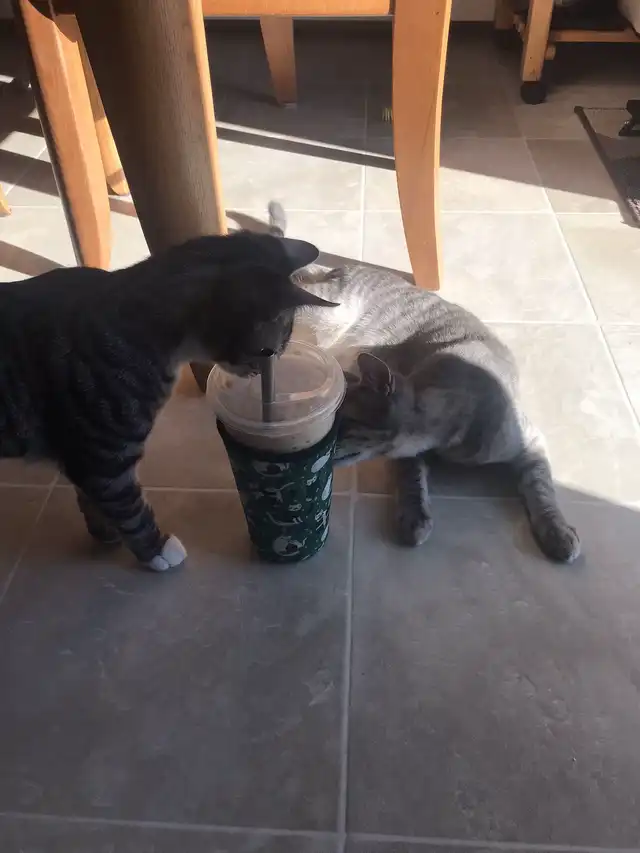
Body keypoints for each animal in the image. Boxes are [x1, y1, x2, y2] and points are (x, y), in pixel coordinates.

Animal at [0, 229, 336, 571]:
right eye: (268, 352)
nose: (261, 373)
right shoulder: (104, 459)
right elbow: (130, 511)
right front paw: (158, 550)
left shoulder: (86, 457)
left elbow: (91, 497)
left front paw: (105, 532)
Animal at [267, 201, 580, 563]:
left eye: (345, 422)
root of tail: (340, 268)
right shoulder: (409, 452)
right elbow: (410, 476)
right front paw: (414, 517)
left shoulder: (532, 442)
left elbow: (541, 489)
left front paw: (558, 532)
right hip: (322, 313)